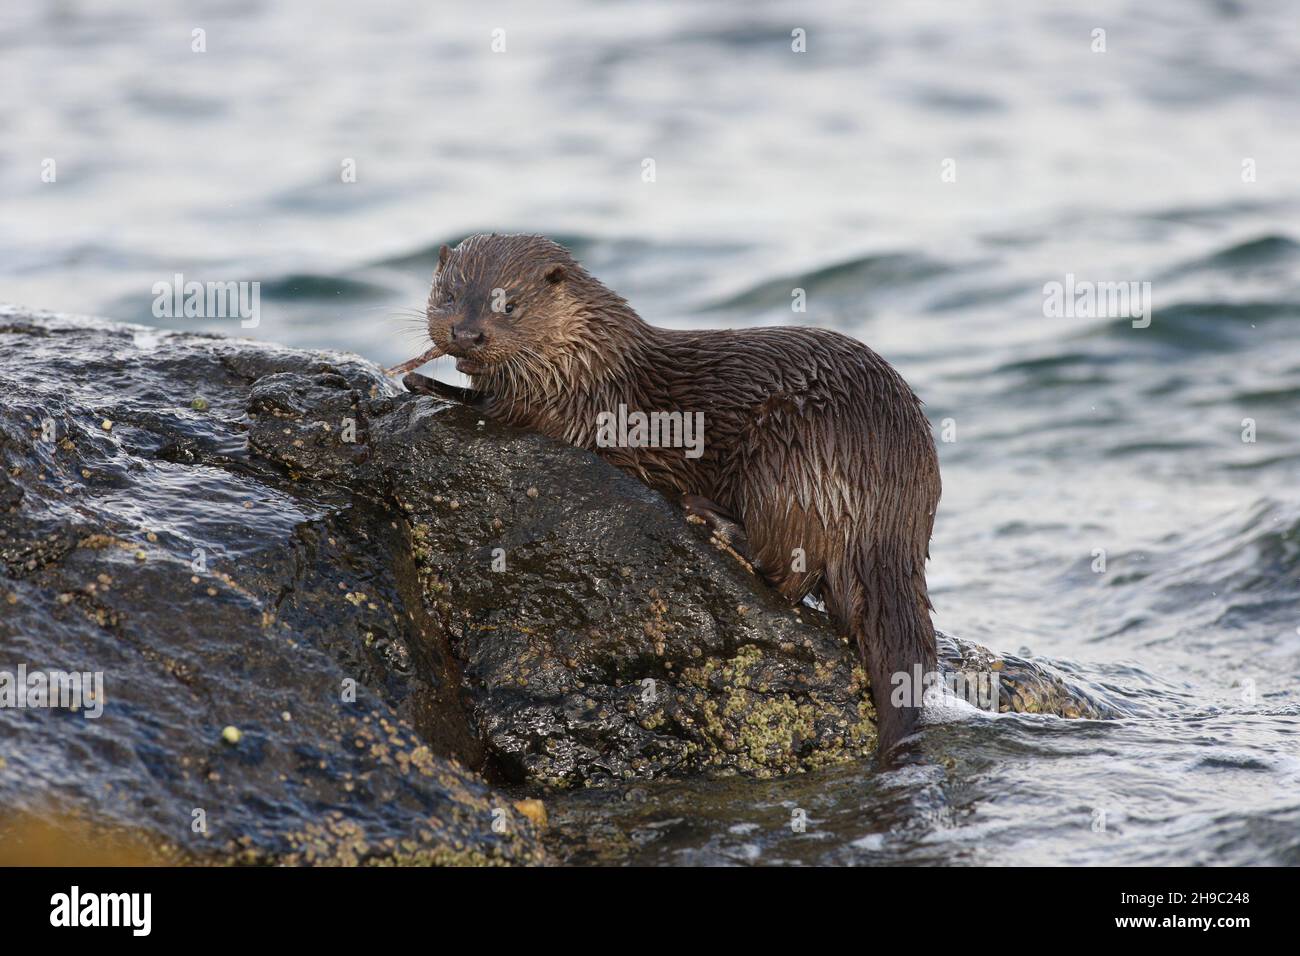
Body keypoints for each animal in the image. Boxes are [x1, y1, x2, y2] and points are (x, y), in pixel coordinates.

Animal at [391, 234, 942, 753]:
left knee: (787, 565)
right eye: (449, 295)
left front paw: (426, 382)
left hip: (790, 455)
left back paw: (707, 516)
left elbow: (502, 411)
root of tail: (896, 509)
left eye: (508, 305)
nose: (465, 333)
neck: (584, 359)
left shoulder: (576, 410)